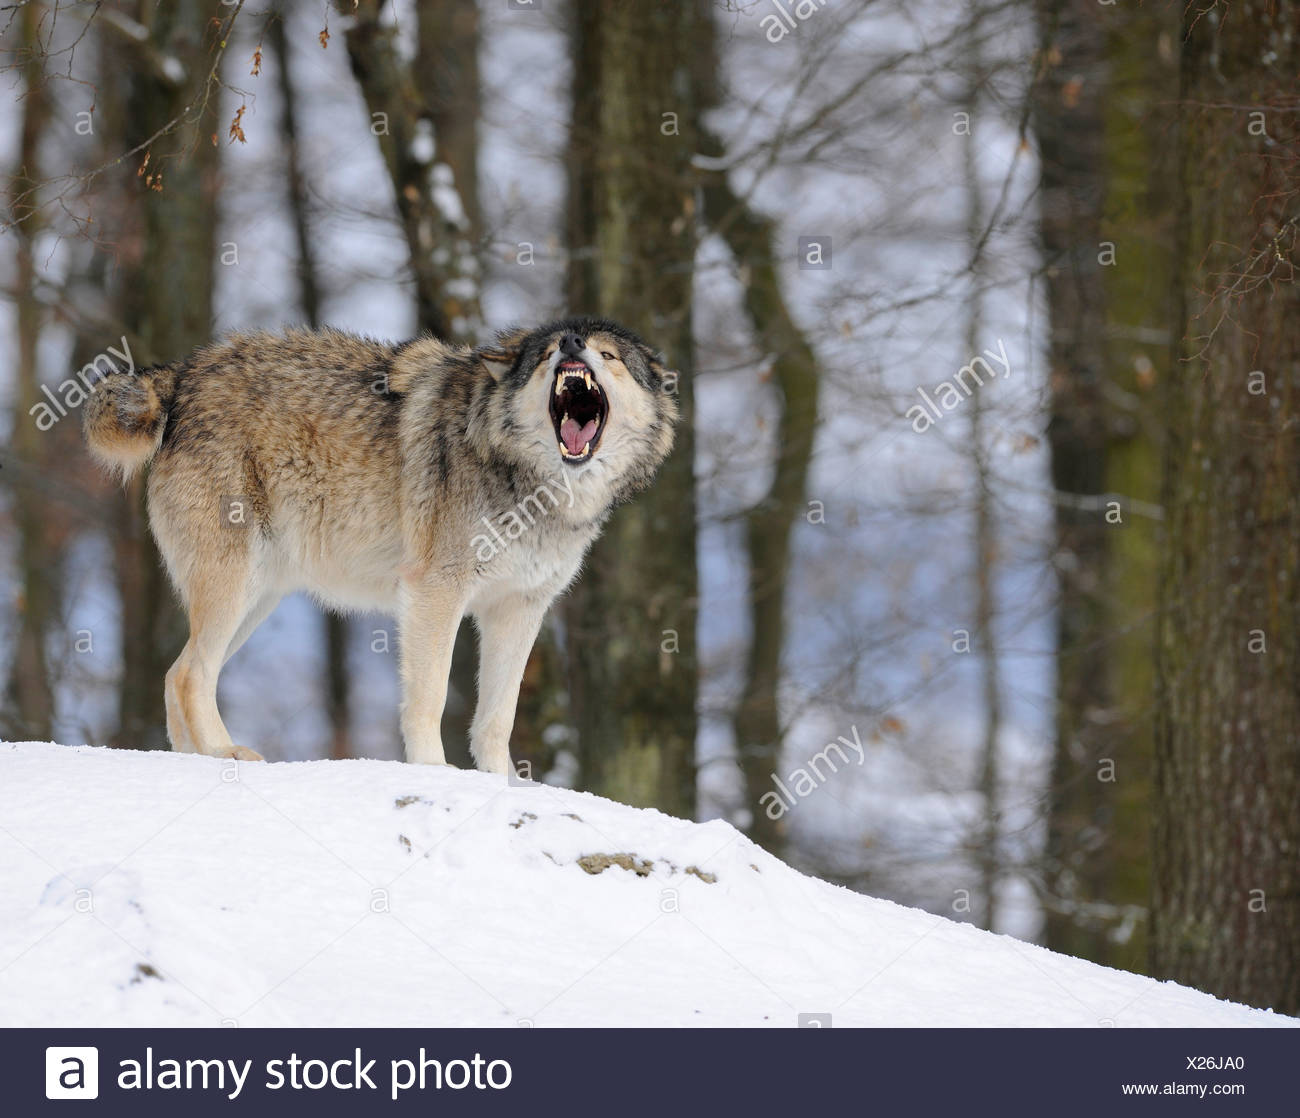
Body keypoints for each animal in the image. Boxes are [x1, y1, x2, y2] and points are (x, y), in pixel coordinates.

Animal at [84, 318, 677, 773]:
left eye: (609, 355)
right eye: (550, 352)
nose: (573, 344)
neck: (531, 485)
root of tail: (182, 373)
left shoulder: (519, 608)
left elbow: (496, 721)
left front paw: (502, 786)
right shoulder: (435, 592)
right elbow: (429, 697)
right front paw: (436, 774)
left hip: (257, 599)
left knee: (173, 674)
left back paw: (198, 760)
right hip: (234, 586)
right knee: (189, 675)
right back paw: (227, 754)